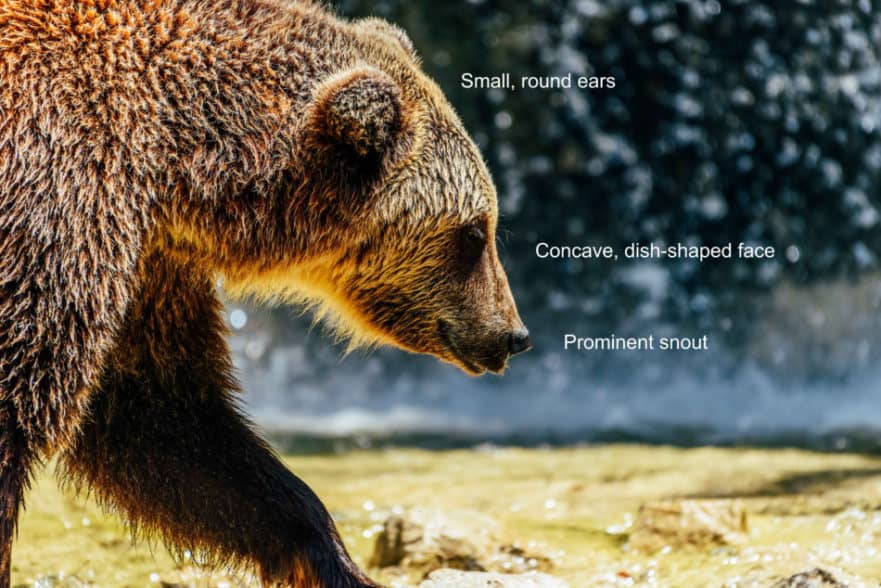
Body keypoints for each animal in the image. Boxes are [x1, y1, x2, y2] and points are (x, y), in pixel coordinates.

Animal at [0, 0, 531, 586]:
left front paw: (339, 562)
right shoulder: (57, 200)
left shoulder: (147, 265)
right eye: (475, 232)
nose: (513, 334)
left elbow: (161, 418)